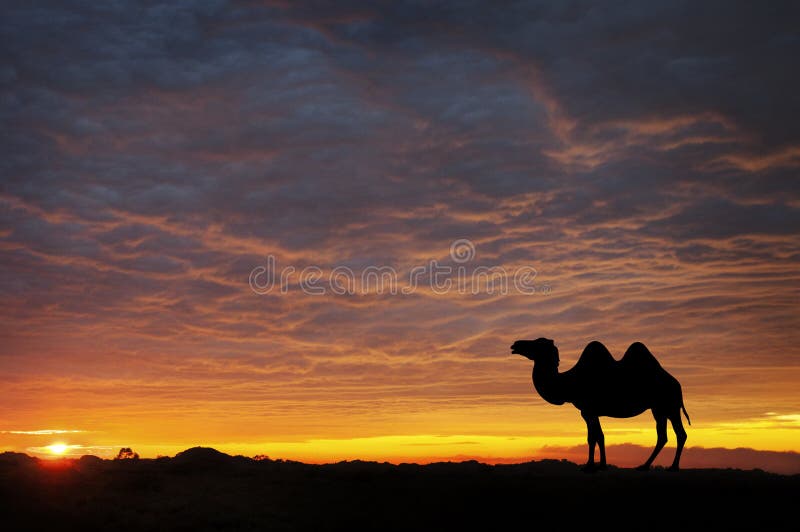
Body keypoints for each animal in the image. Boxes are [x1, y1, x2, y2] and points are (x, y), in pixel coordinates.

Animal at [511, 338, 690, 471]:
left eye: (538, 343)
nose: (515, 344)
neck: (569, 383)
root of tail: (678, 385)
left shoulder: (589, 411)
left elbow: (593, 437)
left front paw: (591, 466)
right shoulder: (587, 412)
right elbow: (598, 436)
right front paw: (599, 465)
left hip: (670, 406)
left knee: (679, 434)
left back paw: (672, 467)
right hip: (659, 408)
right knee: (664, 436)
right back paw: (645, 466)